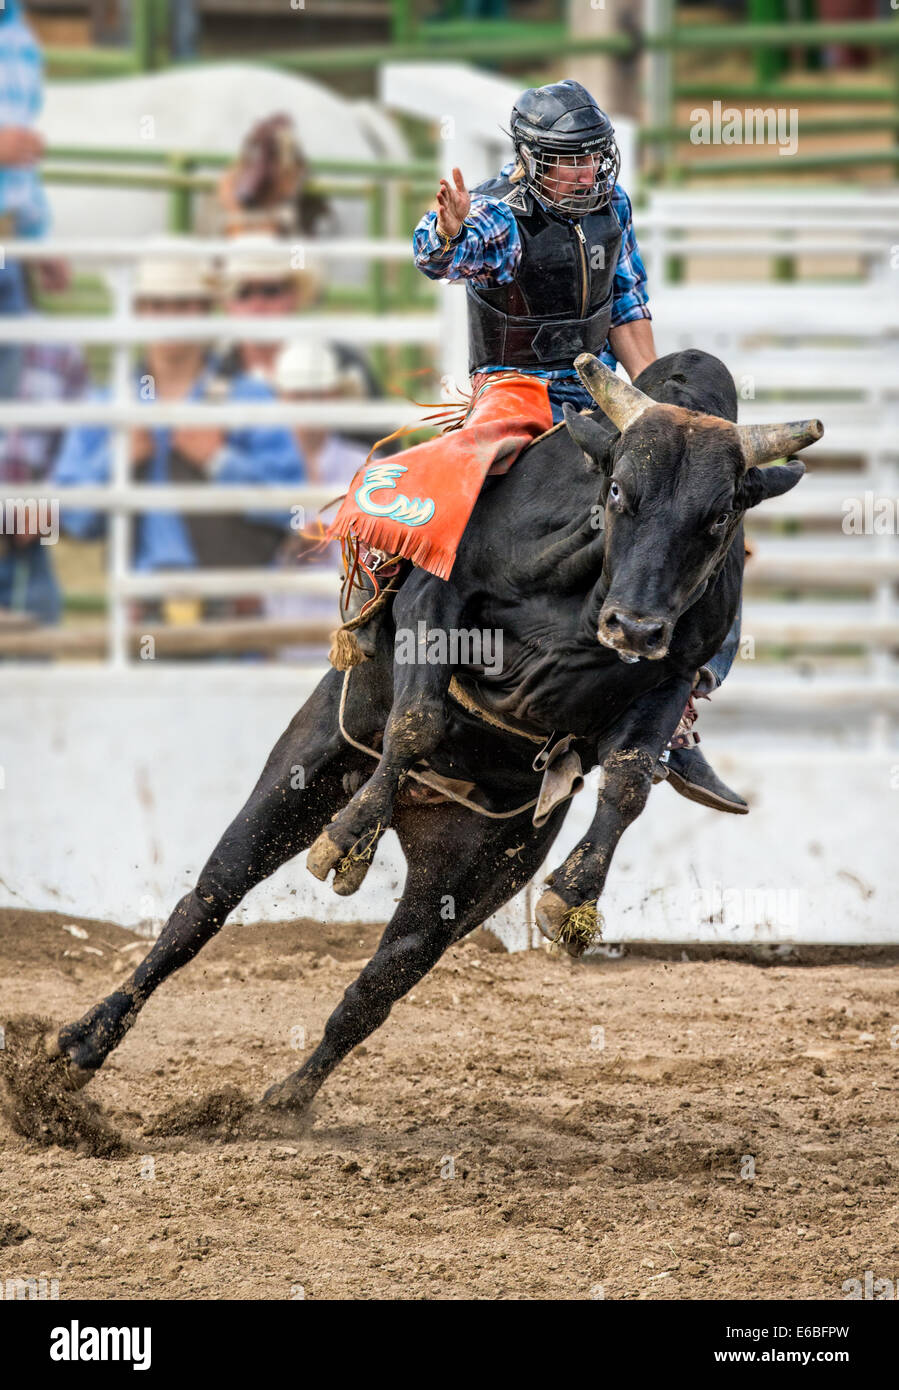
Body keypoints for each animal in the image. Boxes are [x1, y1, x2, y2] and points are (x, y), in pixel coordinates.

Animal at [50, 349, 823, 1116]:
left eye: (719, 516)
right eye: (617, 492)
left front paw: (574, 895)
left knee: (377, 986)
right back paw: (79, 1047)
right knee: (203, 907)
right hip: (302, 771)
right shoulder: (438, 598)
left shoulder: (673, 672)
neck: (581, 601)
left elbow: (630, 780)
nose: (633, 626)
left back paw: (290, 1096)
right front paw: (347, 833)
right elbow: (418, 719)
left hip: (468, 880)